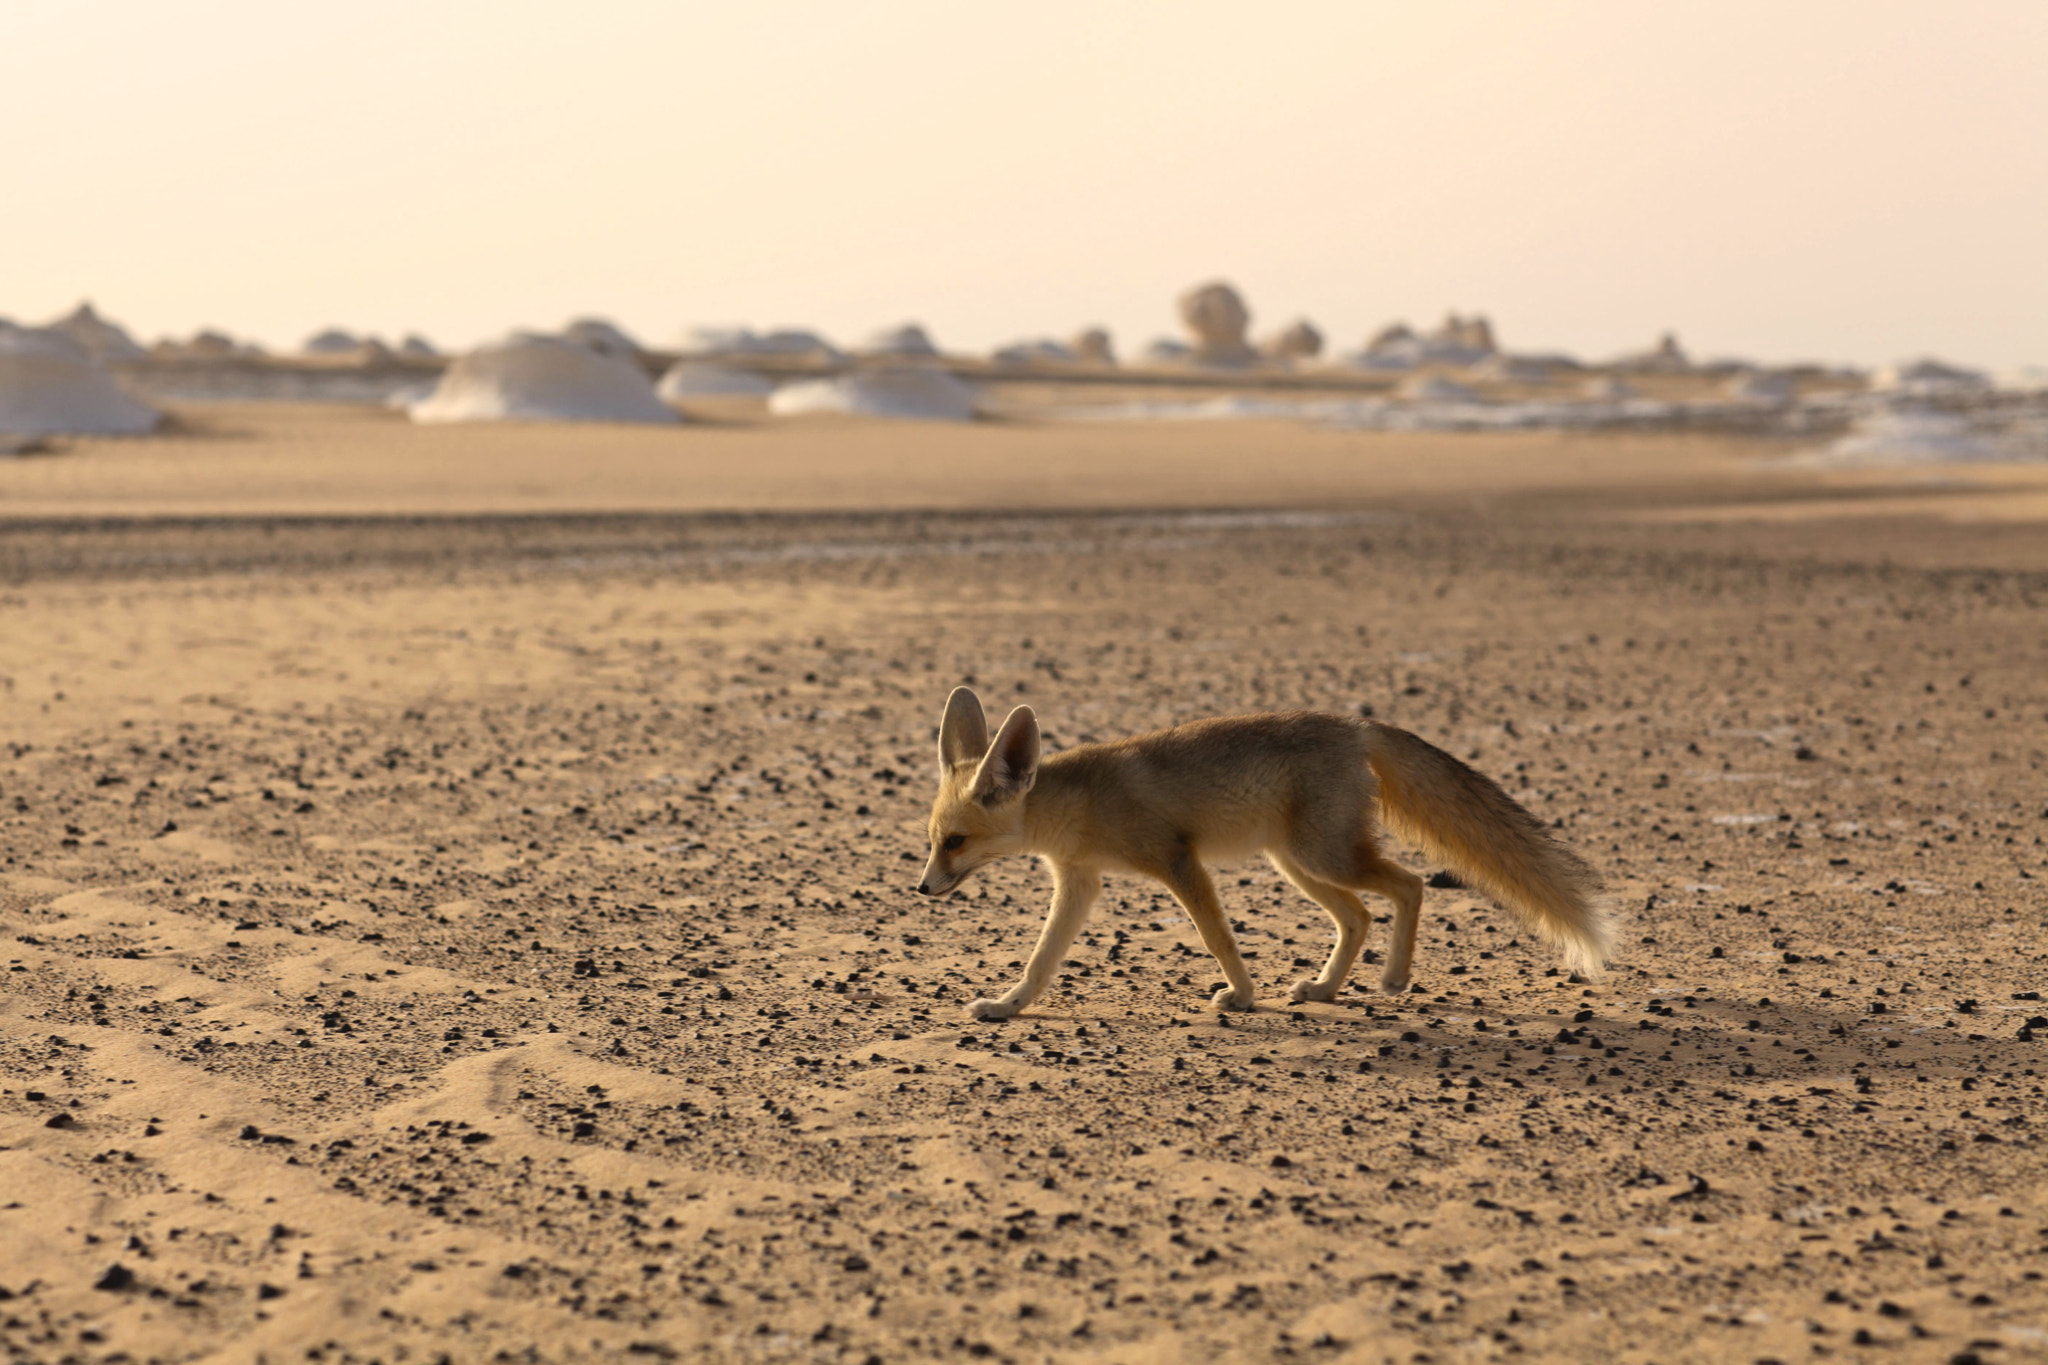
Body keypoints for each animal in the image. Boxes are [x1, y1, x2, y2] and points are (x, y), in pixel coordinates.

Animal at [921, 687, 1605, 1019]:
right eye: (932, 843)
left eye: (956, 842)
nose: (922, 889)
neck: (1083, 806)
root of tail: (1353, 724)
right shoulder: (1080, 881)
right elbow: (1041, 961)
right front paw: (1007, 1007)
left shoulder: (1177, 860)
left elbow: (1218, 937)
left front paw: (1244, 996)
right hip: (1297, 863)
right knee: (1359, 916)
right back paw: (1326, 989)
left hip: (1322, 856)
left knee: (1408, 886)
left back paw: (1392, 978)